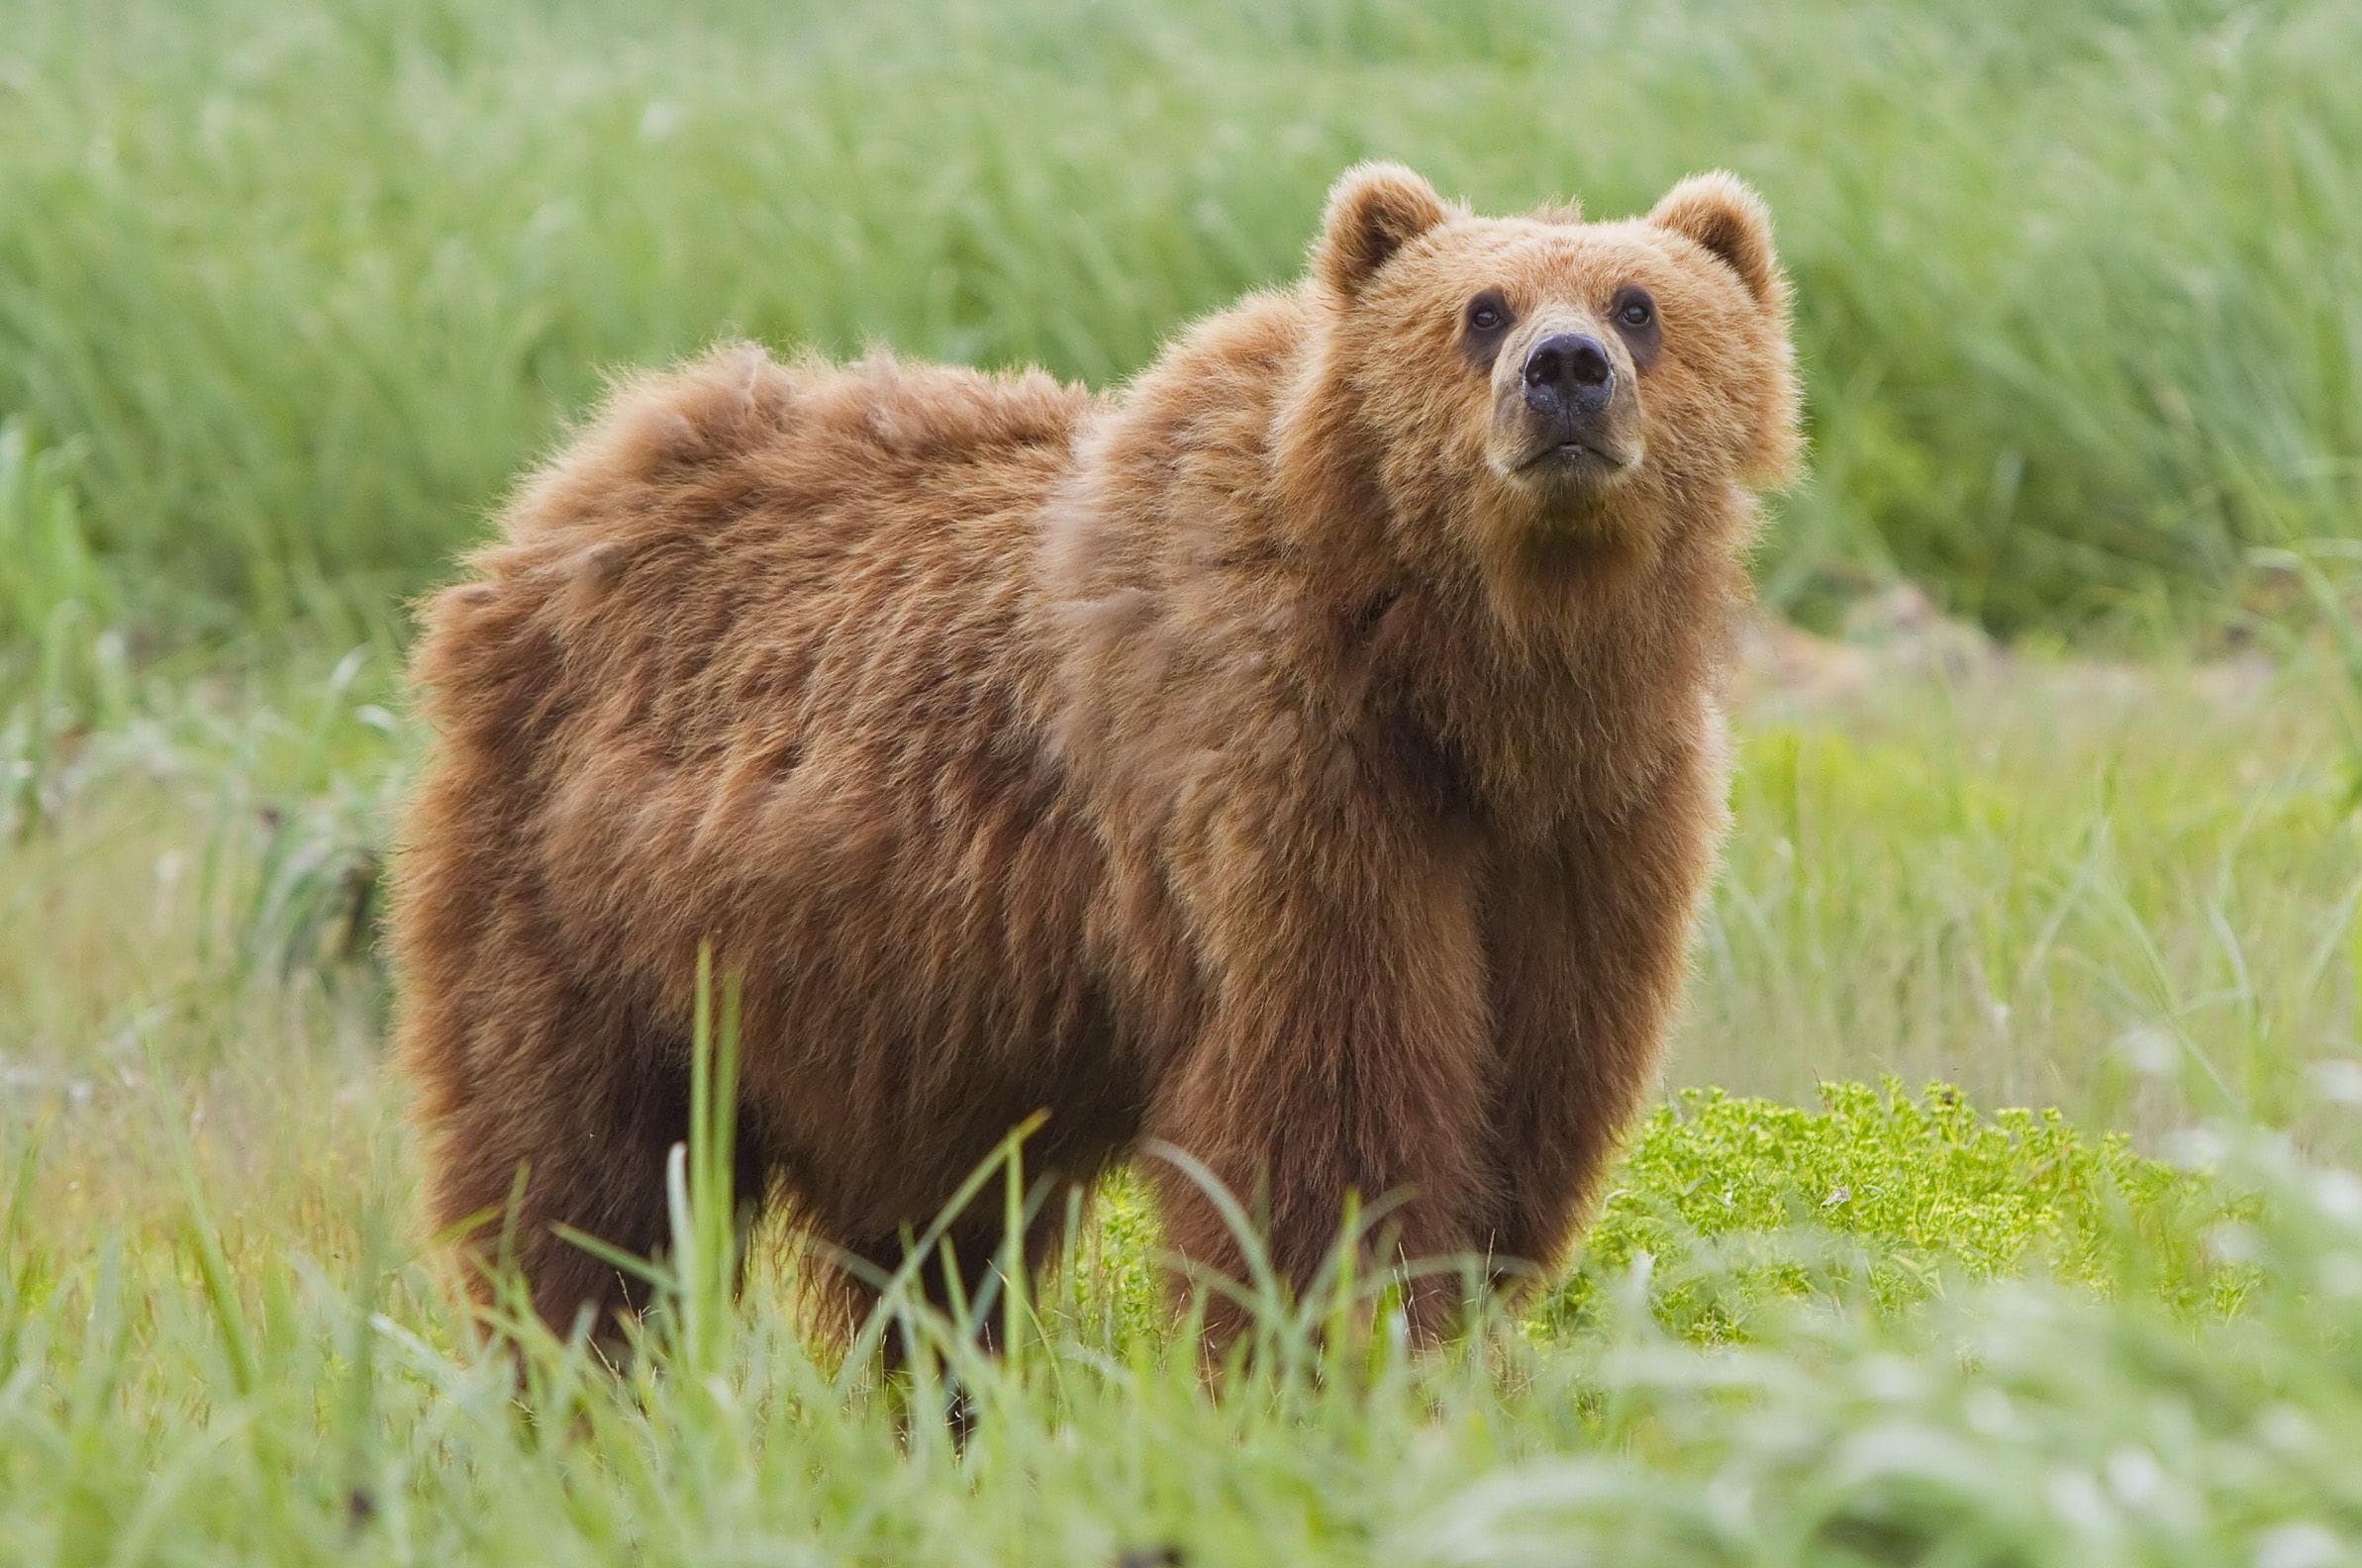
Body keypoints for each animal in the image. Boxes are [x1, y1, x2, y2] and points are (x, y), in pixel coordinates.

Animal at [389, 163, 1801, 1353]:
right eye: (1479, 309)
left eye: (1639, 304)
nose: (1564, 371)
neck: (1470, 686)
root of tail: (566, 487)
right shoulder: (1285, 777)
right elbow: (1327, 1117)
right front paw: (1334, 1347)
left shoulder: (1591, 833)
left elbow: (1525, 1104)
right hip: (585, 906)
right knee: (579, 1184)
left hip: (889, 1014)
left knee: (927, 1252)